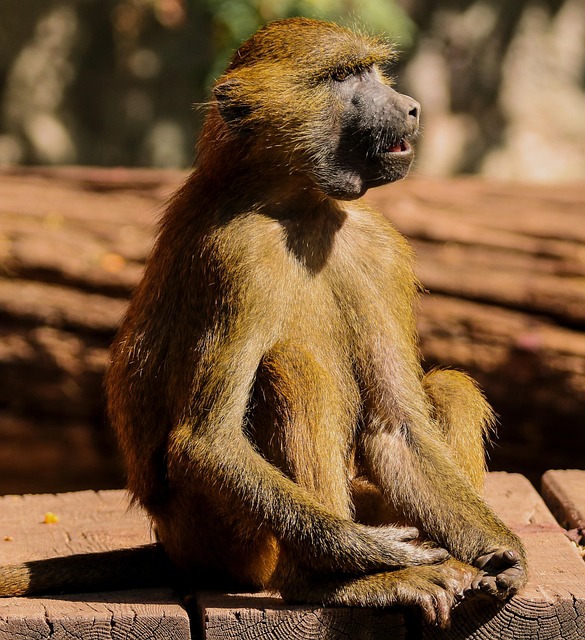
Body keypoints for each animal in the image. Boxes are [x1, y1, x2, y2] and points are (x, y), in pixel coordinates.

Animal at [0, 18, 527, 627]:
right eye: (342, 76)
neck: (299, 205)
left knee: (448, 387)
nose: (412, 108)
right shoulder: (236, 255)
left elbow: (398, 428)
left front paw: (499, 554)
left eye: (371, 71)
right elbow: (207, 440)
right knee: (291, 369)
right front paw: (378, 553)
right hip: (223, 537)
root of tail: (170, 544)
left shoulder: (382, 249)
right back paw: (336, 583)